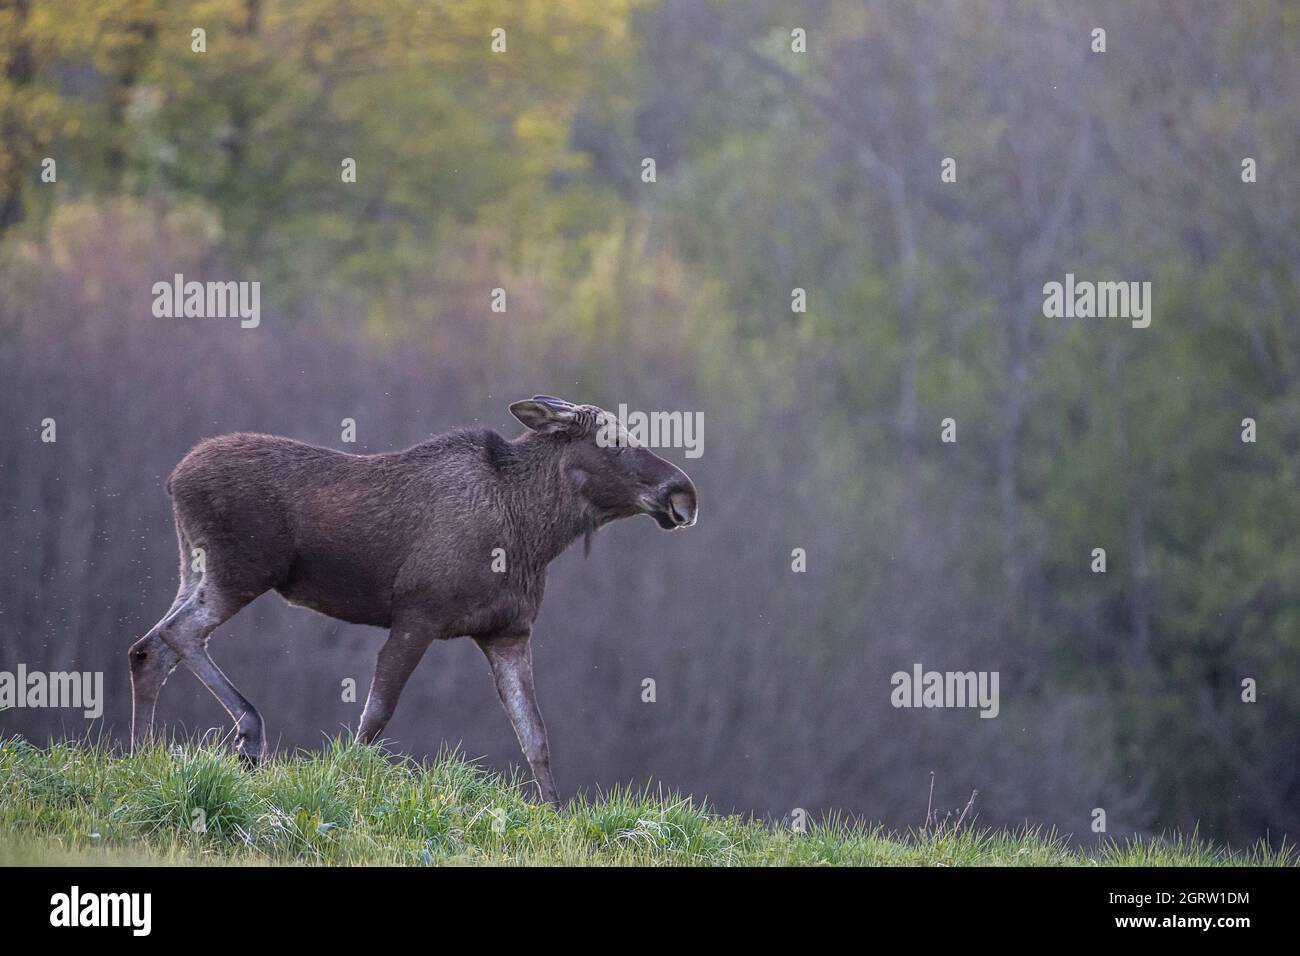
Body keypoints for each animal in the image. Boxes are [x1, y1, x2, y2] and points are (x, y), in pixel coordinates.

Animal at [128, 396, 698, 804]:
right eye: (613, 439)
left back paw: (142, 757)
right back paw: (248, 732)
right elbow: (375, 715)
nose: (683, 493)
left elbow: (534, 734)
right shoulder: (417, 615)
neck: (536, 533)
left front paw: (554, 814)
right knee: (176, 635)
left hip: (195, 569)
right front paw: (342, 780)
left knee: (149, 648)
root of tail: (174, 479)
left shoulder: (508, 632)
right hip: (241, 571)